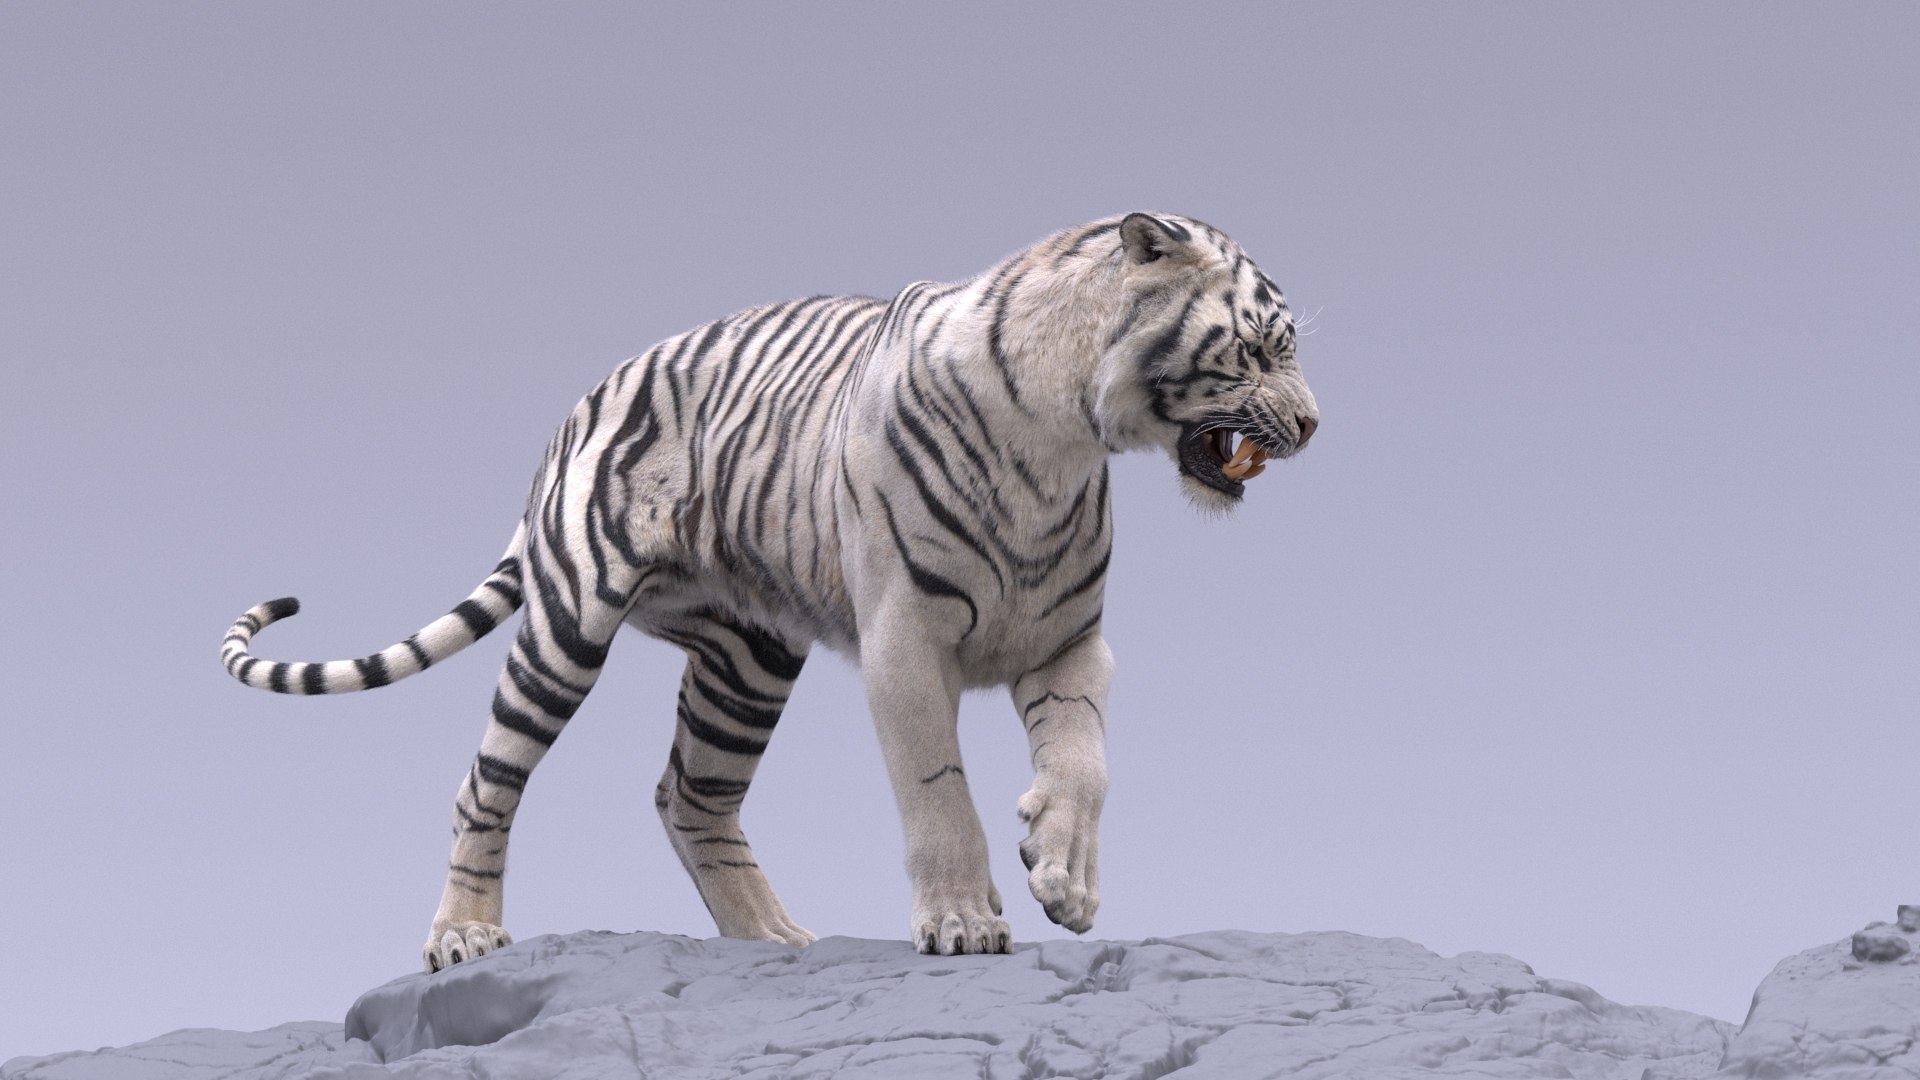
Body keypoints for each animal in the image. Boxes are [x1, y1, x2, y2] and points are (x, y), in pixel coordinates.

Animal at [221, 212, 1319, 970]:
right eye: (1262, 347)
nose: (1314, 425)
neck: (1064, 441)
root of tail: (582, 401)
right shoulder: (904, 641)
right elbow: (939, 791)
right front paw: (964, 921)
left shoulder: (1070, 641)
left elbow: (1085, 764)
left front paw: (1064, 877)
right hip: (570, 625)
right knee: (486, 781)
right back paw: (463, 937)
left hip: (747, 660)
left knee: (687, 794)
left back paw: (774, 943)